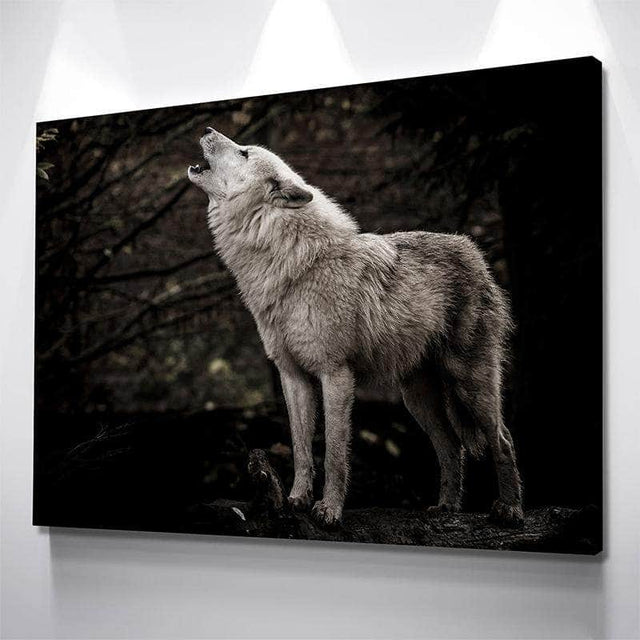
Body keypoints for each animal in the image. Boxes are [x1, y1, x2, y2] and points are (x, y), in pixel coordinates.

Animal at [188, 127, 524, 527]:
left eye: (244, 152)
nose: (208, 129)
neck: (292, 264)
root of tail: (472, 250)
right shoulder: (292, 376)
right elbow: (301, 448)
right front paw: (296, 500)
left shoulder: (336, 374)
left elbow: (334, 452)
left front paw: (329, 510)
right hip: (417, 398)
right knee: (451, 445)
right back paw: (446, 507)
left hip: (469, 382)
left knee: (502, 439)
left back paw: (510, 509)